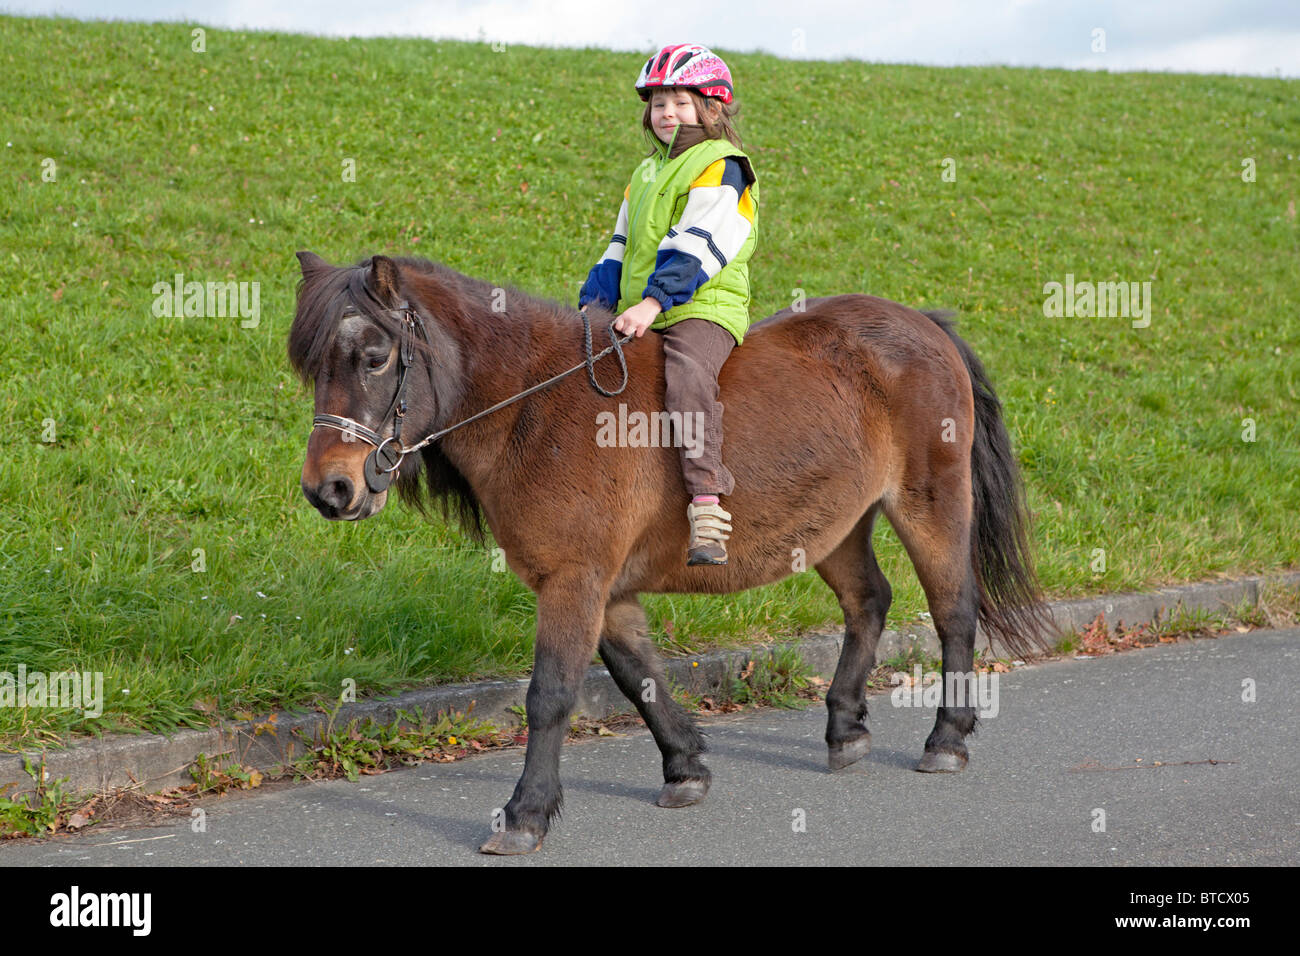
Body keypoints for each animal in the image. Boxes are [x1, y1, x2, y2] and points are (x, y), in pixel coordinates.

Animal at [289, 251, 1053, 855]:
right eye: (312, 365)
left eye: (374, 357)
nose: (330, 489)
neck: (531, 409)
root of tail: (922, 324)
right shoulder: (605, 588)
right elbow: (639, 677)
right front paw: (686, 768)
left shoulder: (575, 580)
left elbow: (551, 695)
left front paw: (526, 814)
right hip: (835, 524)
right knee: (870, 601)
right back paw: (843, 728)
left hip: (931, 501)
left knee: (953, 612)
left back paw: (946, 740)